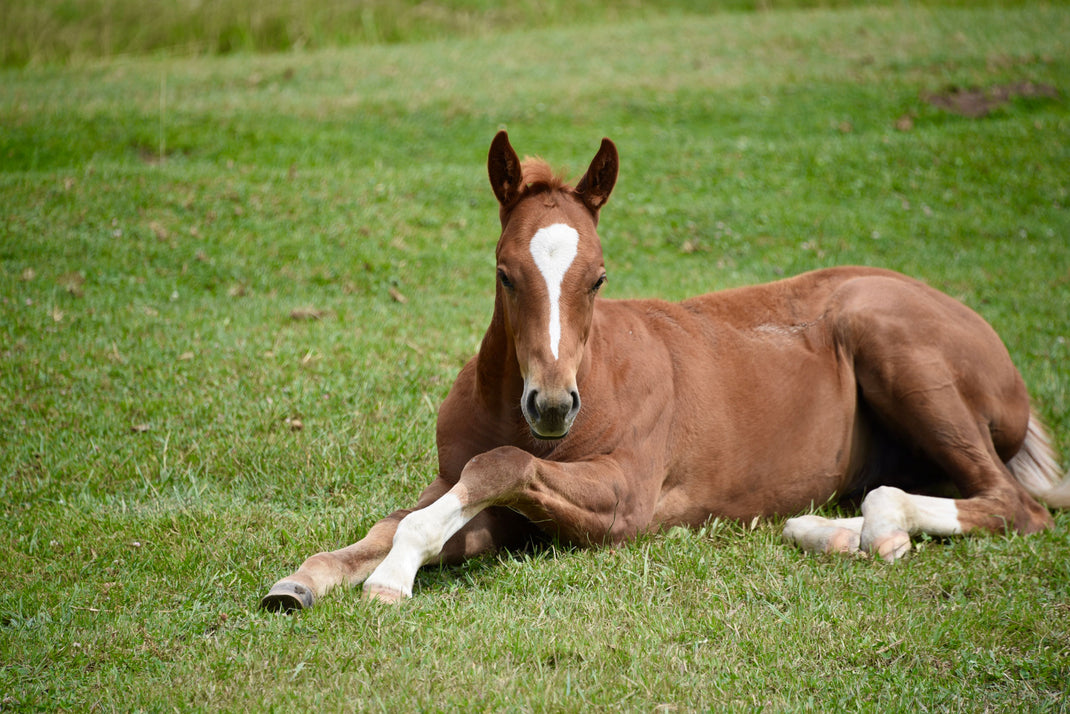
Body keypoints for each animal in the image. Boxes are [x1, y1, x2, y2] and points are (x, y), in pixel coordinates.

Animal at [262, 131, 1069, 611]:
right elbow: (399, 518)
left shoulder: (624, 498)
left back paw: (885, 525)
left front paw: (391, 579)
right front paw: (305, 579)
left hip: (896, 350)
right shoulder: (484, 501)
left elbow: (495, 468)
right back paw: (844, 533)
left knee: (1012, 505)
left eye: (597, 277)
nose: (551, 406)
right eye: (504, 274)